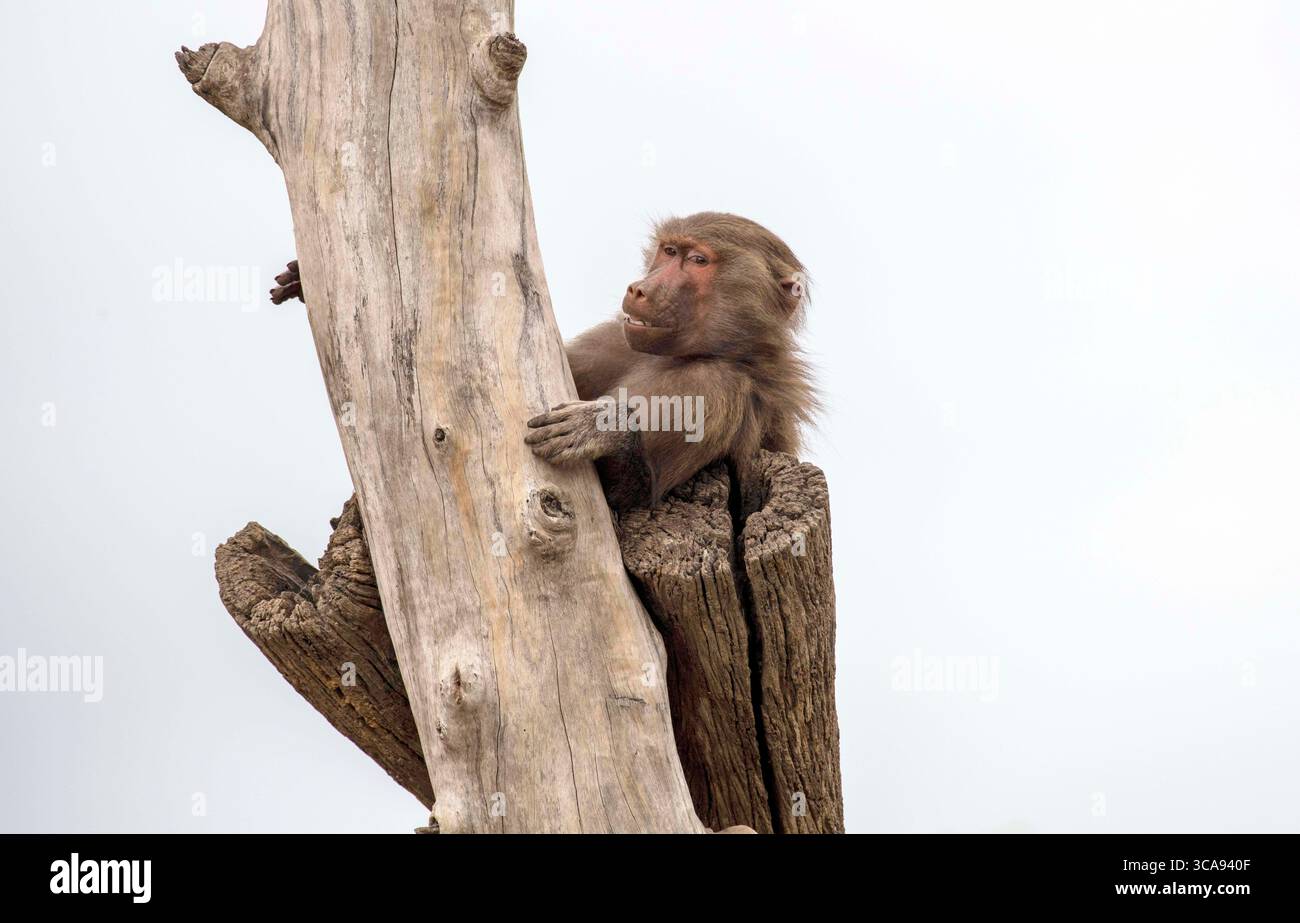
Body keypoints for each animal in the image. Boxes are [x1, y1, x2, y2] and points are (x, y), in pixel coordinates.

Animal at [269, 212, 817, 513]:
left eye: (698, 261)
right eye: (668, 251)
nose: (639, 289)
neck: (711, 350)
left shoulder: (721, 388)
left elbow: (633, 491)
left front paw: (604, 430)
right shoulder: (617, 340)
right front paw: (300, 281)